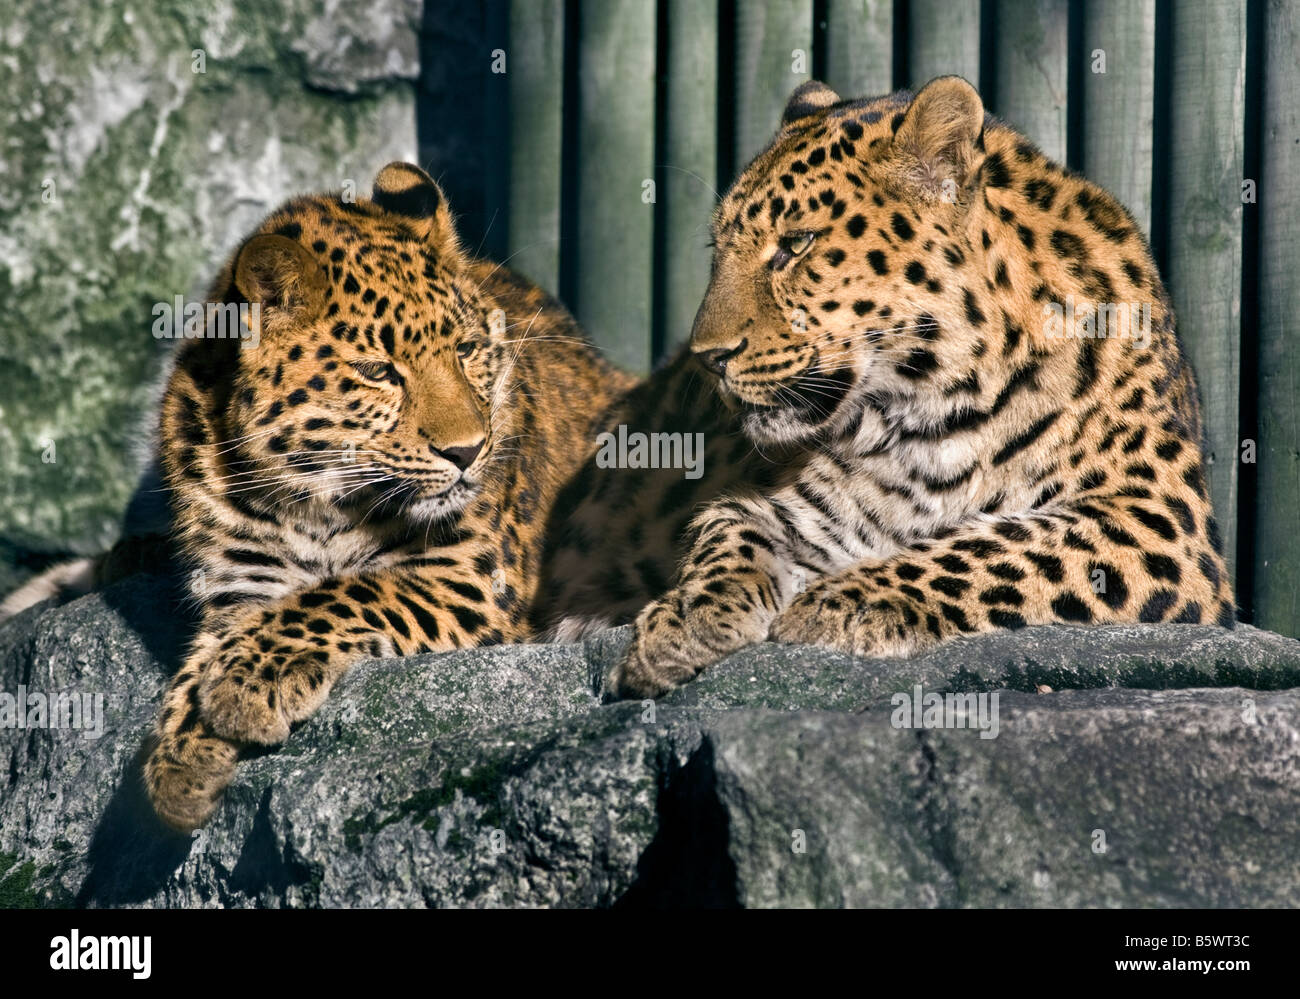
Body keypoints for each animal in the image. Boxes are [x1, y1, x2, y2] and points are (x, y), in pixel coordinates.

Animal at [142, 162, 630, 830]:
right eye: (378, 372)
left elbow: (343, 594)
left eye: (466, 349)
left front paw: (241, 687)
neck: (318, 503)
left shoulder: (470, 575)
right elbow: (211, 649)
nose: (467, 451)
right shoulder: (240, 585)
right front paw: (183, 755)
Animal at [546, 75, 1234, 699]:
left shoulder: (1156, 518)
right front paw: (685, 621)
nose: (708, 358)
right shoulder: (798, 509)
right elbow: (728, 535)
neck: (945, 408)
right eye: (718, 250)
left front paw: (845, 602)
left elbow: (993, 545)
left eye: (796, 244)